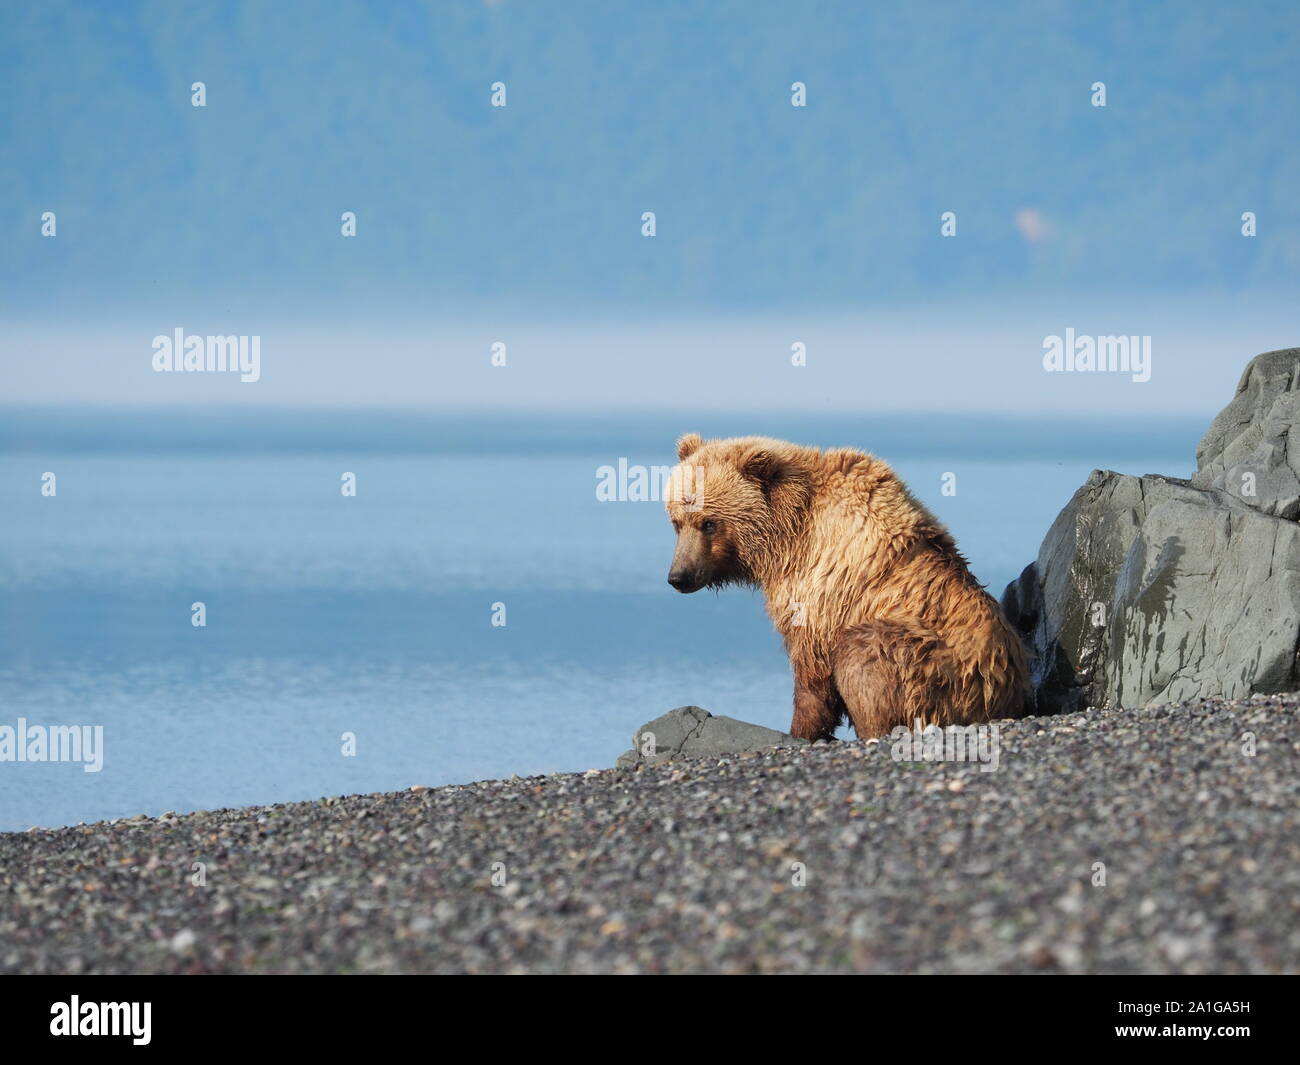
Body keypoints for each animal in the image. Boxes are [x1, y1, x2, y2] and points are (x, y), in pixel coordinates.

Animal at [664, 433, 1029, 741]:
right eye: (677, 522)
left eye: (709, 523)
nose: (679, 577)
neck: (787, 535)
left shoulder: (821, 585)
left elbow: (813, 670)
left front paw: (801, 730)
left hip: (936, 667)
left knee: (865, 653)